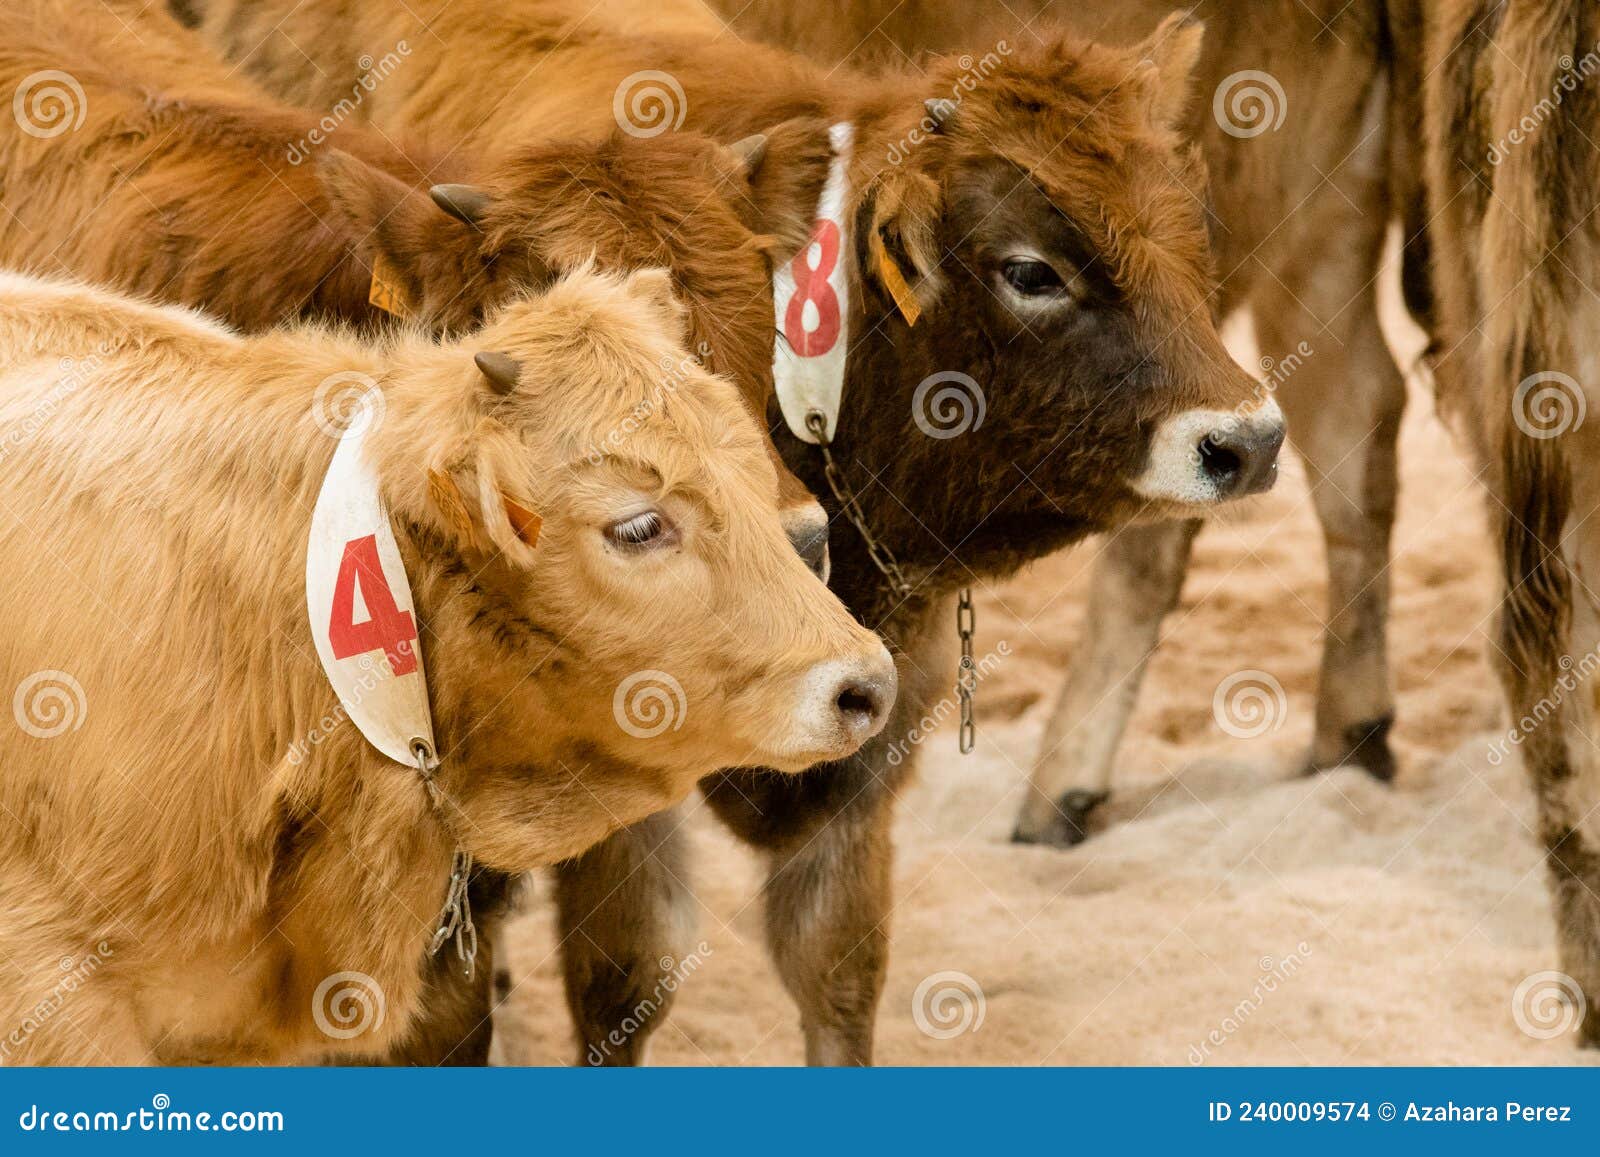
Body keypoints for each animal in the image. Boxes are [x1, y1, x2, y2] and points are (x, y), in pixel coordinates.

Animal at [186, 0, 1287, 1064]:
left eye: (1192, 228)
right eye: (1031, 270)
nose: (1245, 439)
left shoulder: (873, 741)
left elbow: (837, 968)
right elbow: (627, 972)